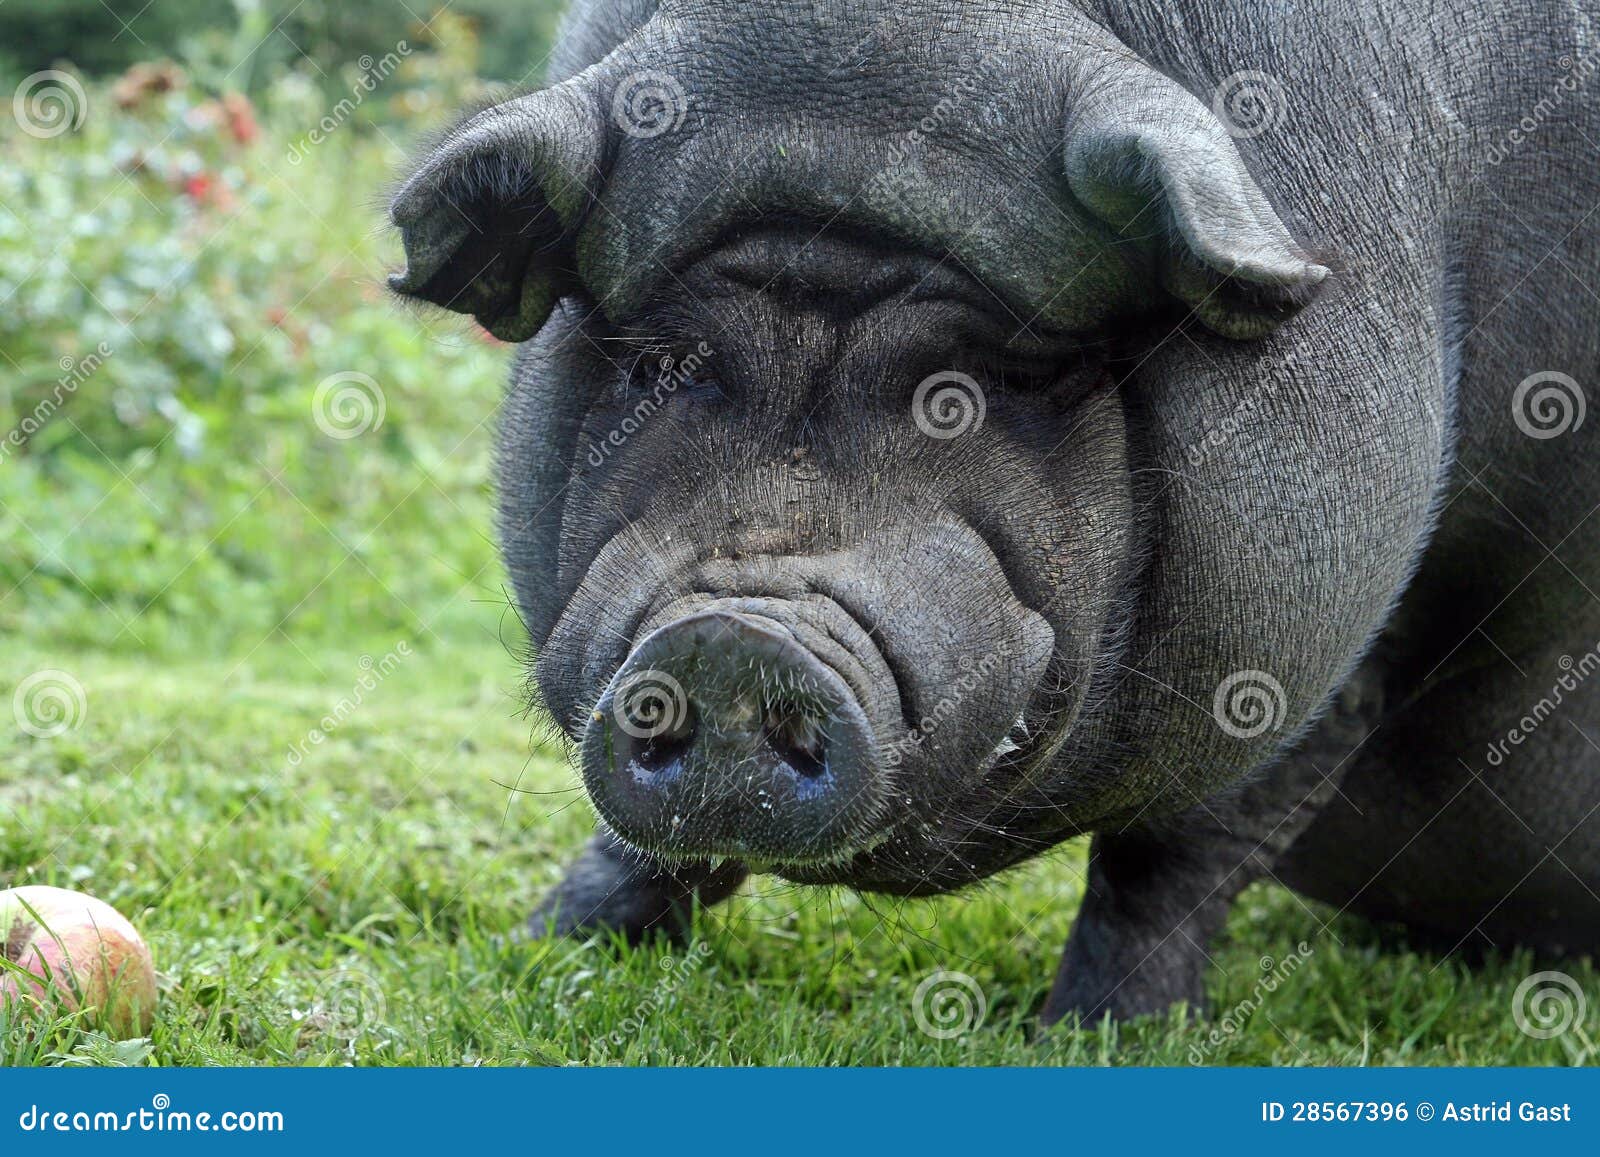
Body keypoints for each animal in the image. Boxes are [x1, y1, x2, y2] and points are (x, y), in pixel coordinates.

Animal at [389, 0, 1600, 1024]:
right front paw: (541, 951)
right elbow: (638, 848)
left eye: (990, 378)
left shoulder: (1350, 613)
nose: (736, 637)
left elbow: (1180, 848)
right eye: (664, 363)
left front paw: (1107, 1032)